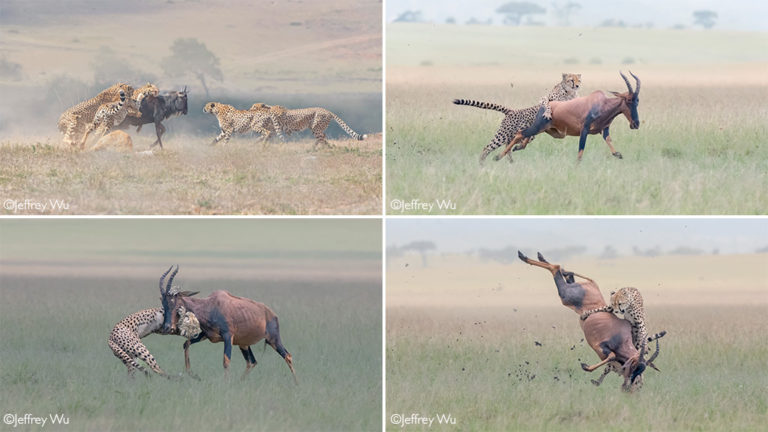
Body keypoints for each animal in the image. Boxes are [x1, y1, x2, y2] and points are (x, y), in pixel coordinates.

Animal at [453, 73, 581, 164]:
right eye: (571, 79)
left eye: (578, 80)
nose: (577, 85)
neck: (568, 92)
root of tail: (511, 110)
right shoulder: (546, 99)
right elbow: (547, 104)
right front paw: (548, 112)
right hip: (503, 135)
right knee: (487, 148)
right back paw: (481, 164)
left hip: (521, 134)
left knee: (510, 146)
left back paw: (510, 161)